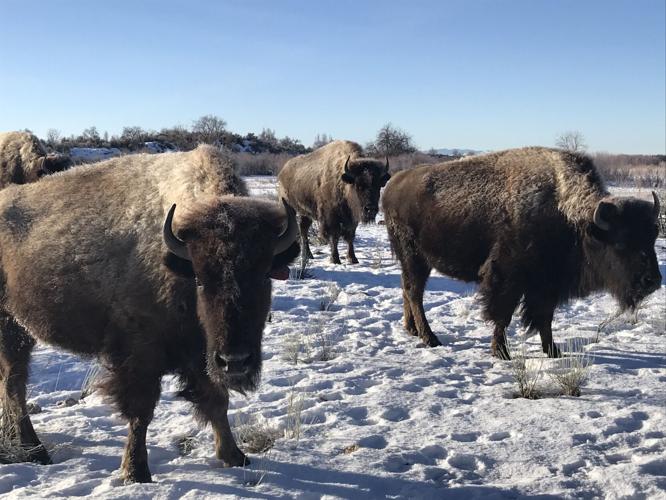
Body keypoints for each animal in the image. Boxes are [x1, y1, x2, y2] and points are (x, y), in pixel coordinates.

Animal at [0, 145, 299, 482]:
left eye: (265, 275)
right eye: (200, 279)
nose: (236, 361)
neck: (177, 260)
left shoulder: (202, 354)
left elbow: (217, 400)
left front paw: (235, 456)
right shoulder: (141, 355)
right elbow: (142, 412)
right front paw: (136, 471)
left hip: (18, 329)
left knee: (11, 382)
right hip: (11, 327)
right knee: (14, 384)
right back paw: (36, 451)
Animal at [382, 147, 661, 359]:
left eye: (652, 237)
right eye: (621, 242)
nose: (653, 281)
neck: (572, 218)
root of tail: (392, 185)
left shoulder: (547, 285)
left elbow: (545, 318)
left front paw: (553, 352)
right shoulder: (506, 279)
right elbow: (503, 316)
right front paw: (501, 352)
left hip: (415, 261)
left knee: (407, 289)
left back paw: (412, 330)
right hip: (414, 257)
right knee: (415, 293)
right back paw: (430, 338)